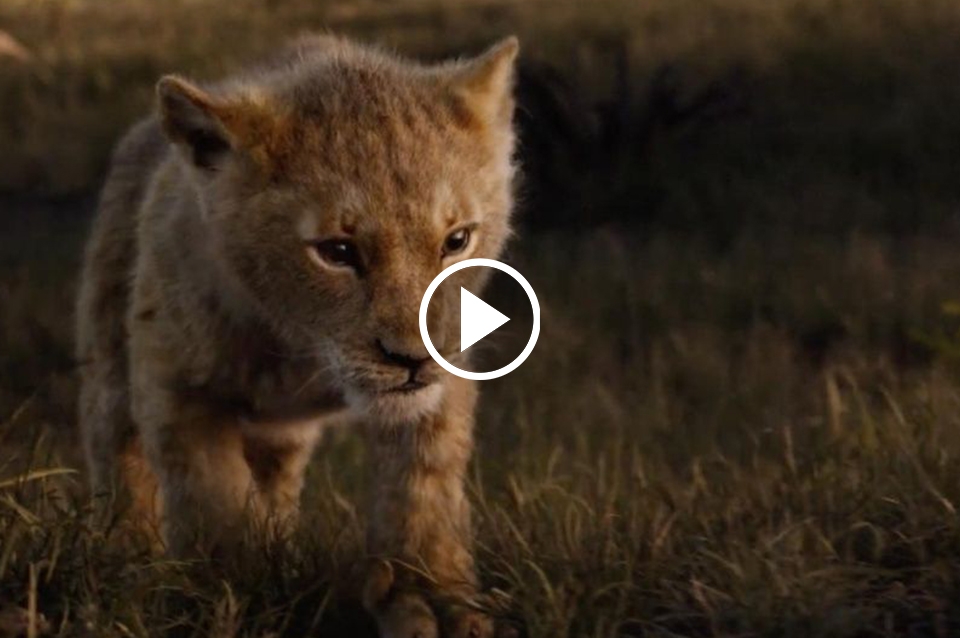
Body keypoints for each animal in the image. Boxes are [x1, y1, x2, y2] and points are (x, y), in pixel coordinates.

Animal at [75, 34, 519, 638]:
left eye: (455, 240)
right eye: (337, 251)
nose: (413, 360)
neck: (298, 346)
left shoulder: (443, 382)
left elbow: (423, 483)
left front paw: (431, 597)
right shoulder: (176, 382)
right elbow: (213, 499)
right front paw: (229, 598)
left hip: (279, 437)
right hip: (109, 353)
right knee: (117, 452)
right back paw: (125, 557)